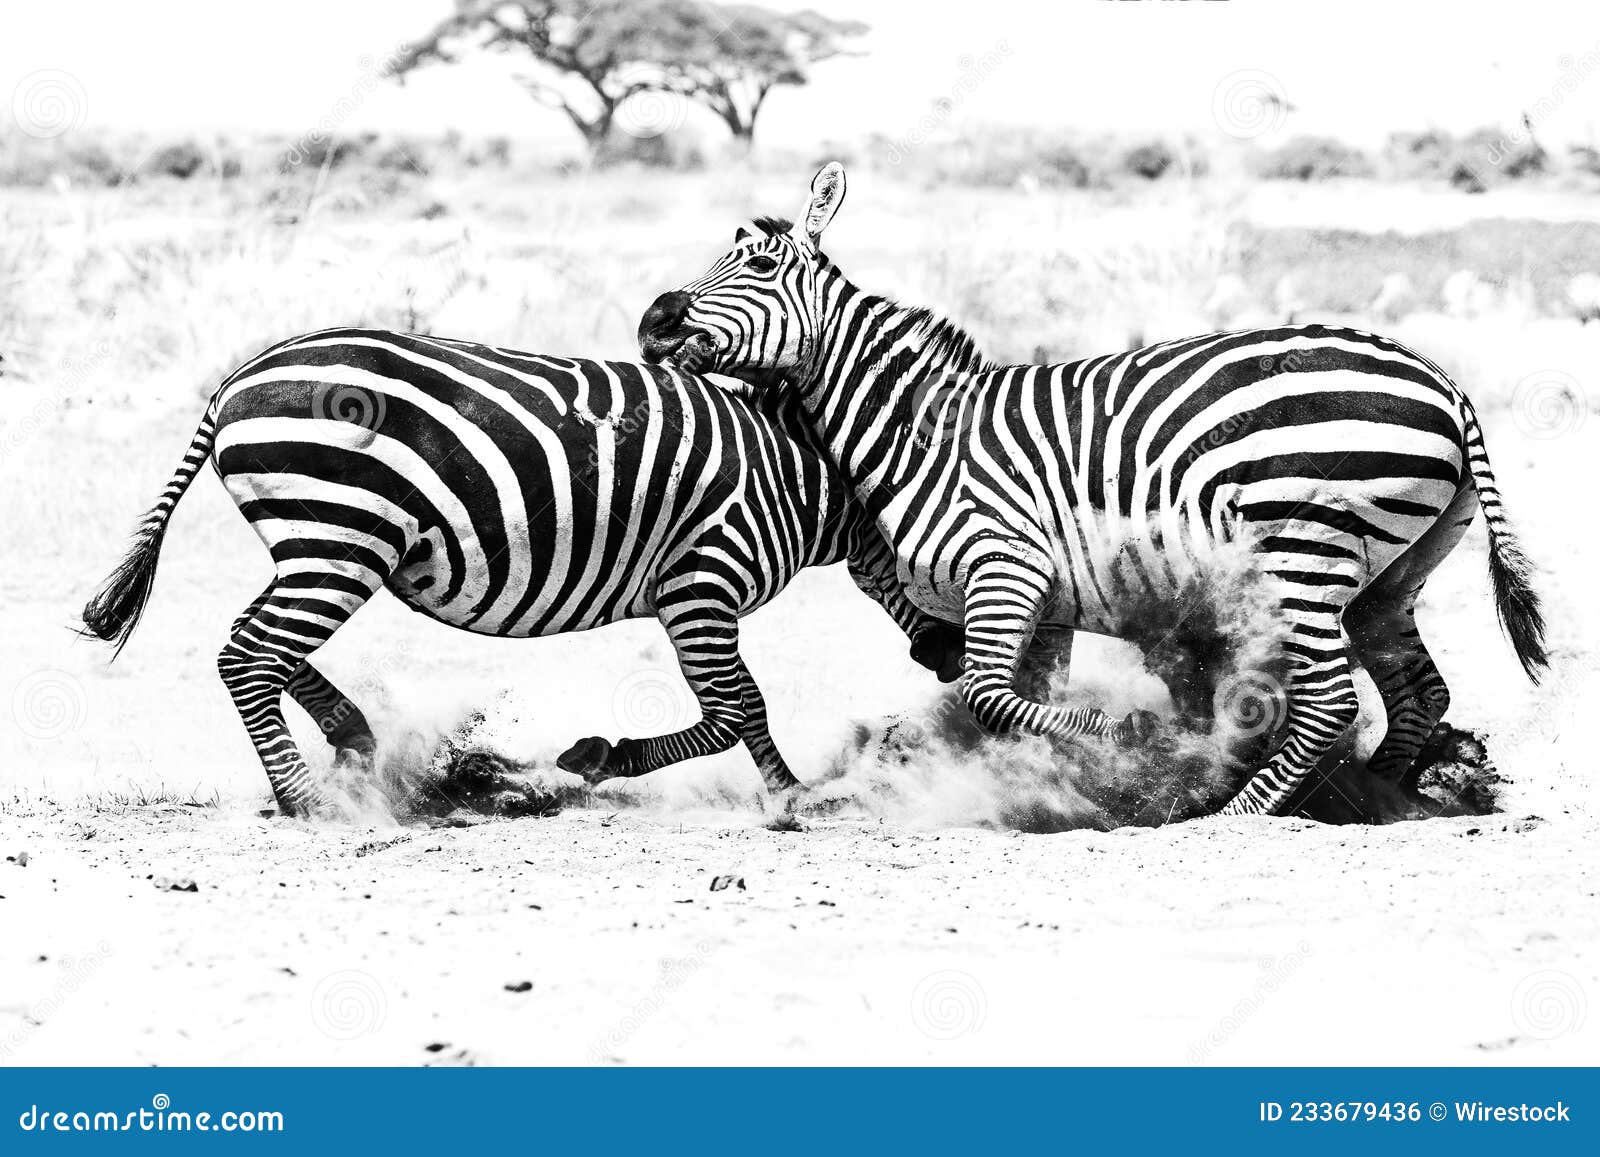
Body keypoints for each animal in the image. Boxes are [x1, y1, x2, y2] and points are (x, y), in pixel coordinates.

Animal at [81, 327, 961, 817]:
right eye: (943, 561)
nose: (954, 659)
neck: (802, 476)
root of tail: (234, 383)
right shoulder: (701, 581)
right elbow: (737, 707)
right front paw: (788, 795)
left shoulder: (692, 594)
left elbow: (728, 710)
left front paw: (603, 757)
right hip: (342, 532)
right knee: (251, 651)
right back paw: (311, 803)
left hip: (324, 539)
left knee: (254, 641)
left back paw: (352, 741)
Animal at [637, 163, 1548, 817]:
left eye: (758, 264)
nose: (653, 322)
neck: (919, 433)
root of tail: (1442, 380)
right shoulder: (1043, 603)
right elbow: (1011, 704)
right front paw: (1045, 784)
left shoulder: (1004, 566)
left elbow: (986, 693)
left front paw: (1119, 738)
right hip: (1391, 572)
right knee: (1419, 691)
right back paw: (1372, 795)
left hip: (1300, 554)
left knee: (1328, 698)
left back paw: (1239, 808)